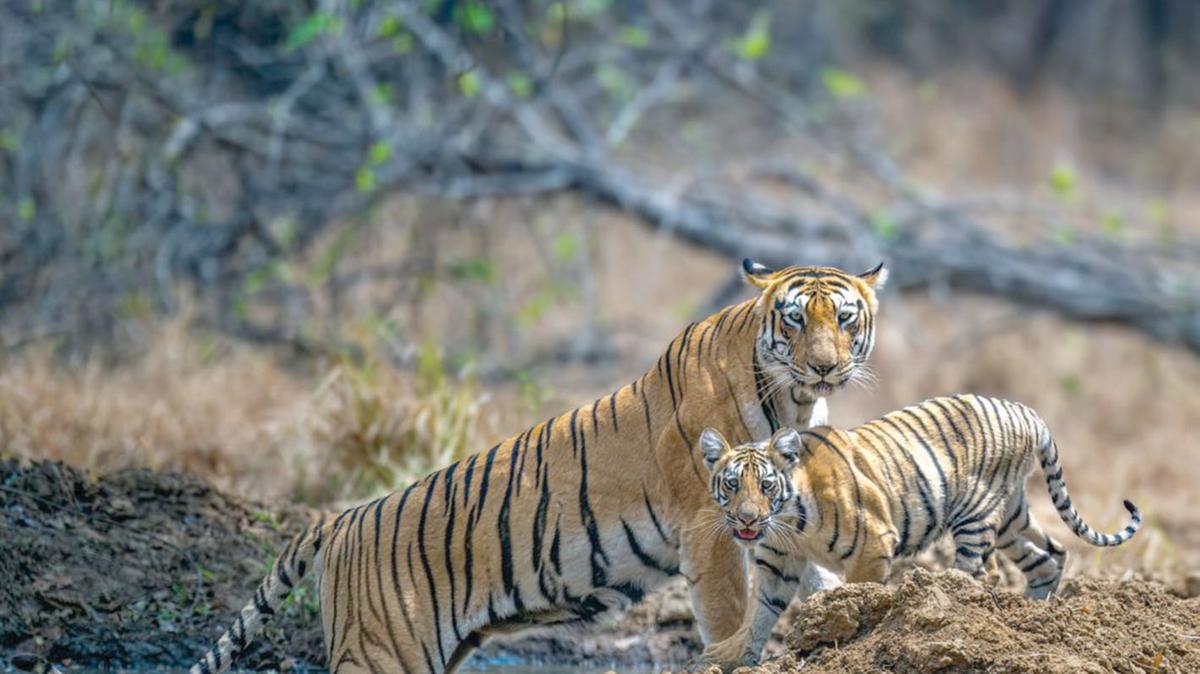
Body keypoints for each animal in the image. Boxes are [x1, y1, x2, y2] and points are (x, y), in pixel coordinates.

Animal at [187, 258, 889, 674]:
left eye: (844, 318)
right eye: (793, 320)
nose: (825, 366)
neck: (794, 399)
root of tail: (343, 519)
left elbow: (817, 576)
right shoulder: (708, 528)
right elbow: (729, 608)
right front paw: (732, 654)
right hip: (380, 654)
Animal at [692, 394, 1143, 671]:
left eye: (767, 485)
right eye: (731, 484)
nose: (747, 520)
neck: (787, 523)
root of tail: (1024, 410)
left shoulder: (873, 544)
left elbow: (859, 594)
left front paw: (850, 643)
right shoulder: (776, 564)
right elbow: (761, 614)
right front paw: (737, 658)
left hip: (975, 512)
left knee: (979, 573)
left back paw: (957, 611)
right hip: (1013, 516)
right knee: (1050, 556)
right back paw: (1036, 619)